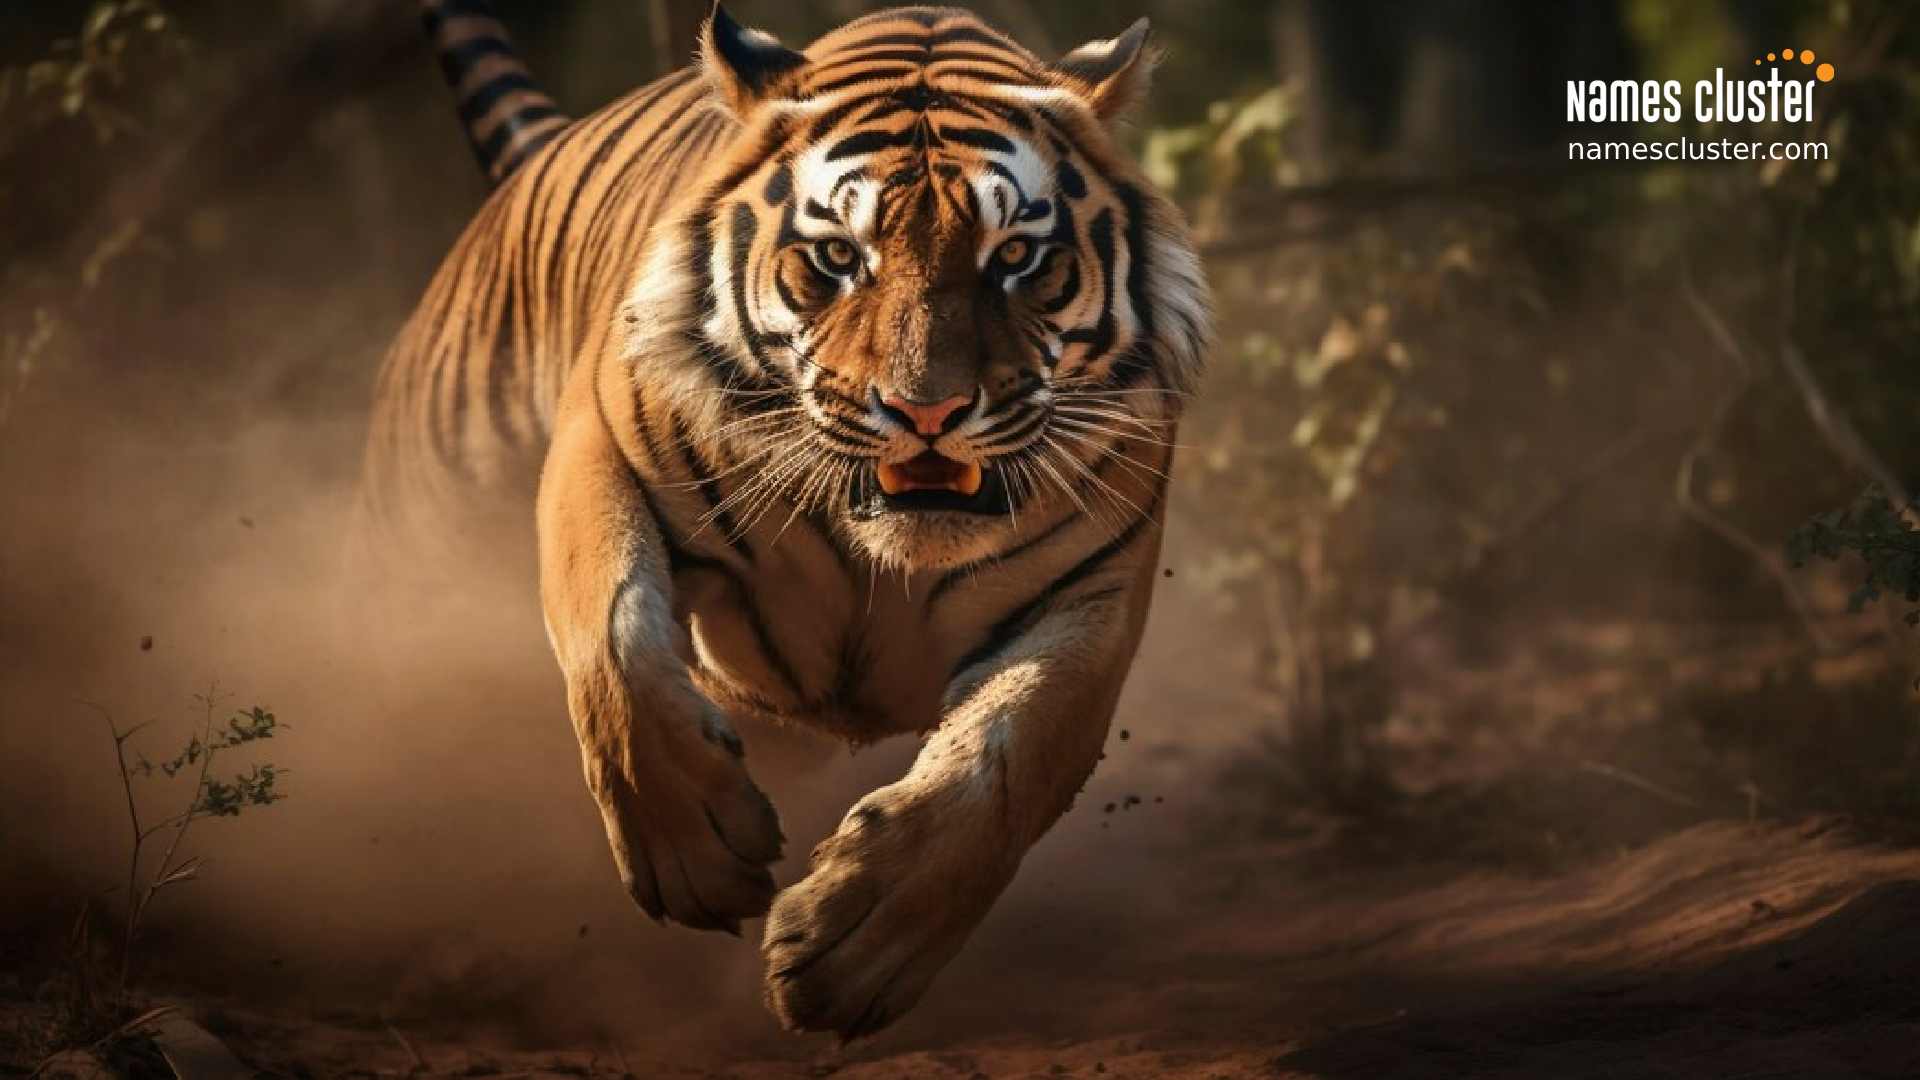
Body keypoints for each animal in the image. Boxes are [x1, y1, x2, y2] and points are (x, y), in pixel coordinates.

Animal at [360, 0, 1211, 1038]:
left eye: (1015, 257)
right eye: (839, 257)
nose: (927, 410)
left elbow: (1004, 762)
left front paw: (852, 951)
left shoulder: (1093, 597)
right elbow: (614, 645)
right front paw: (696, 858)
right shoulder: (600, 447)